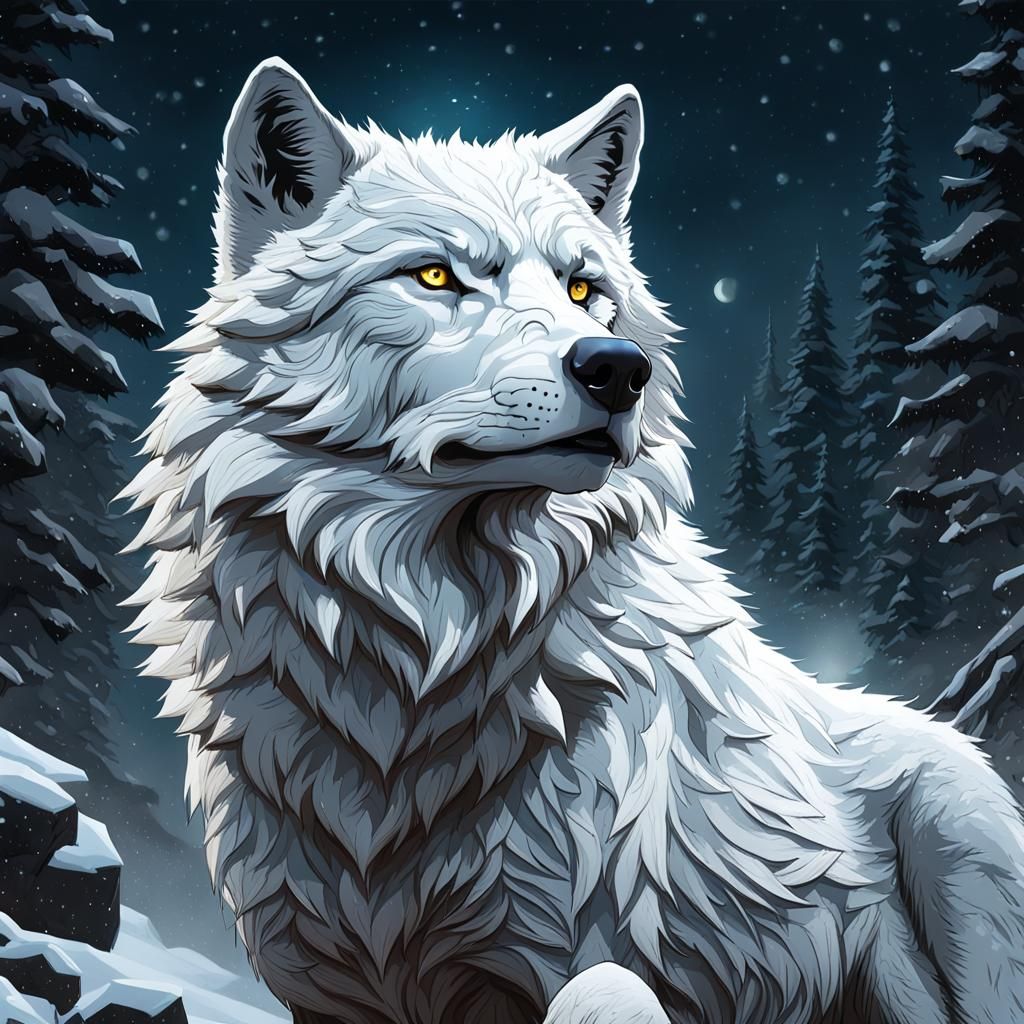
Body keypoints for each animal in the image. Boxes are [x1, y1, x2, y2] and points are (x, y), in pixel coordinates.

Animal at [122, 57, 1024, 1024]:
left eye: (583, 289)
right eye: (435, 277)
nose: (617, 368)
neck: (419, 667)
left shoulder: (588, 957)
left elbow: (600, 990)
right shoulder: (327, 995)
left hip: (963, 840)